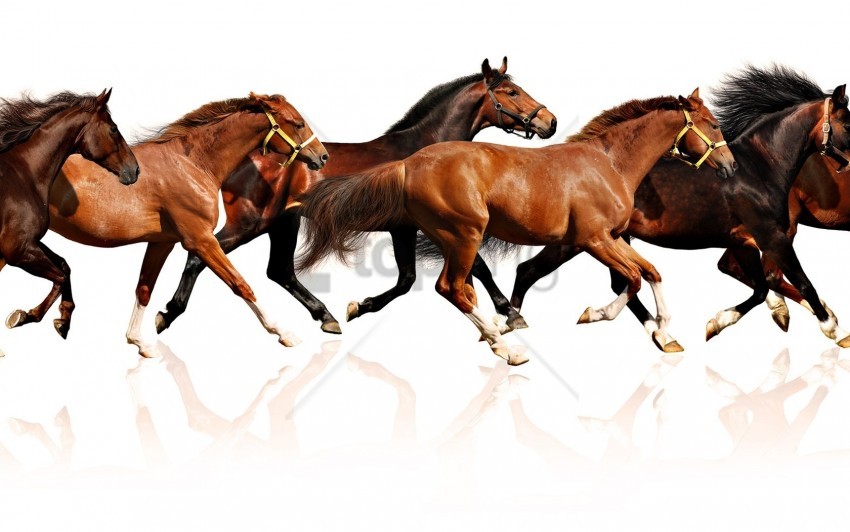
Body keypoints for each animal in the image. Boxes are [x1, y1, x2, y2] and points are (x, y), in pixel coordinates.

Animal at [0, 89, 138, 354]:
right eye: (113, 128)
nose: (135, 170)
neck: (22, 175)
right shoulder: (18, 251)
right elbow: (61, 276)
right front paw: (25, 316)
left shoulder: (29, 245)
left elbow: (65, 266)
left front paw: (62, 320)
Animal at [43, 93, 328, 357]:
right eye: (298, 123)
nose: (323, 157)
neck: (193, 165)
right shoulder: (200, 240)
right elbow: (241, 284)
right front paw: (285, 333)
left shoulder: (162, 242)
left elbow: (144, 289)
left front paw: (139, 342)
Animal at [153, 57, 557, 336]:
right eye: (511, 92)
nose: (549, 121)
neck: (422, 150)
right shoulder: (429, 228)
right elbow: (472, 269)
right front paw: (510, 313)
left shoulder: (406, 229)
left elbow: (409, 279)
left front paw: (357, 307)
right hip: (253, 223)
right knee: (201, 256)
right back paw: (166, 314)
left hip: (283, 223)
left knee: (278, 270)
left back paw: (327, 317)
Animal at [298, 89, 735, 365]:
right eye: (713, 125)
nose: (730, 166)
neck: (609, 164)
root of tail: (408, 163)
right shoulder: (593, 240)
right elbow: (632, 280)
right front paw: (592, 314)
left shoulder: (611, 238)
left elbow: (652, 272)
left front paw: (665, 335)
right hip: (464, 235)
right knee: (451, 288)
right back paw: (506, 349)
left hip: (450, 238)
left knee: (459, 289)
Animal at [504, 66, 850, 349]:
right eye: (848, 124)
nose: (729, 167)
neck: (759, 168)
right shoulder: (772, 238)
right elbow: (799, 281)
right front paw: (833, 329)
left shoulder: (746, 242)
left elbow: (762, 288)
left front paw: (716, 323)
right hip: (580, 241)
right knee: (531, 271)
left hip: (608, 239)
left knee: (600, 279)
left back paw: (661, 336)